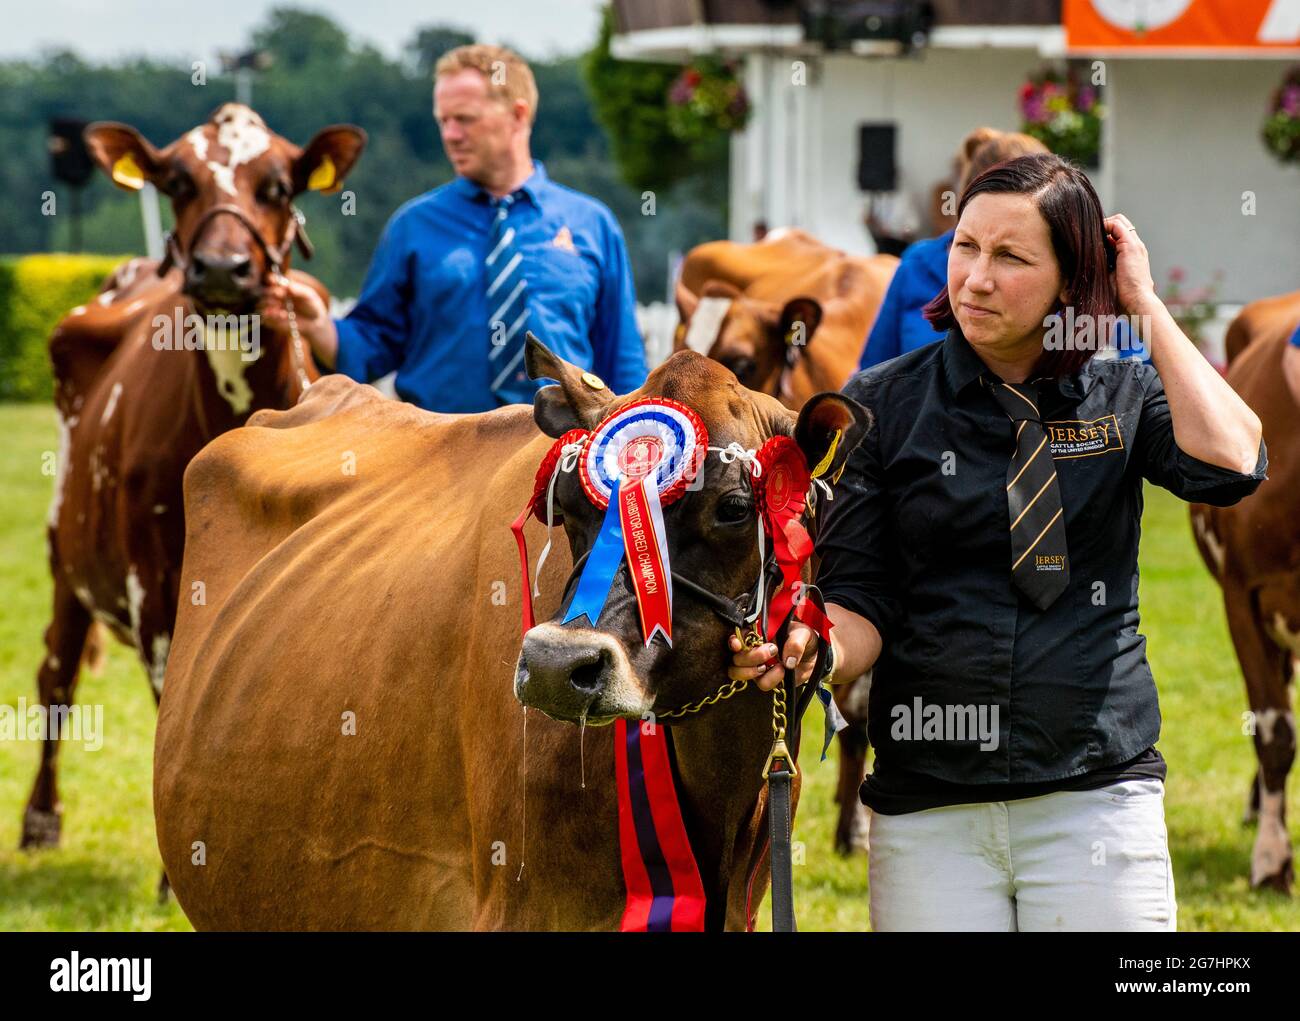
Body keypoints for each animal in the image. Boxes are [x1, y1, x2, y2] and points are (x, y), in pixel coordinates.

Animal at [21, 103, 366, 861]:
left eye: (279, 185)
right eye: (177, 182)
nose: (221, 268)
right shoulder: (152, 583)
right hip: (65, 553)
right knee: (56, 673)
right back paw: (39, 818)